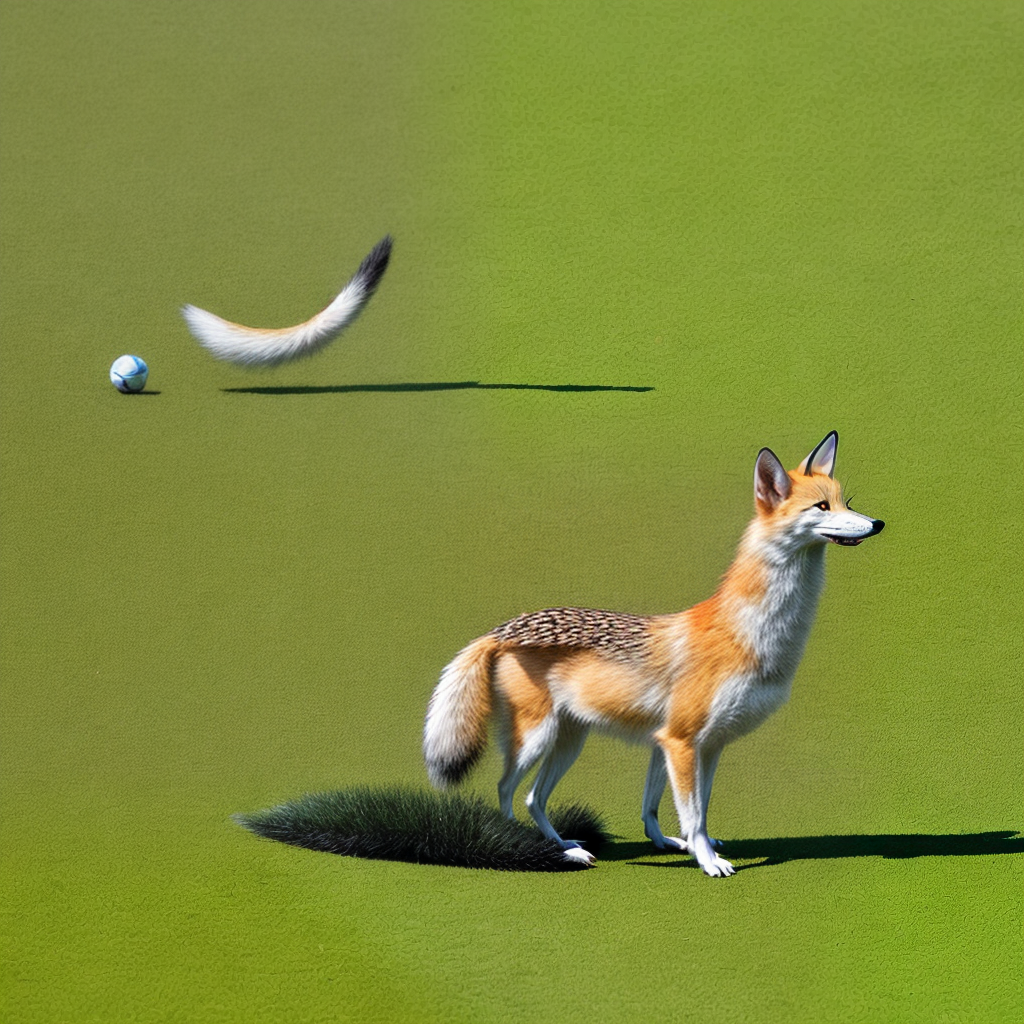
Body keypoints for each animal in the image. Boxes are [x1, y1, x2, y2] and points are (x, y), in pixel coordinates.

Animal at [423, 431, 884, 876]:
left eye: (846, 502)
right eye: (821, 506)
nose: (878, 523)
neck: (751, 635)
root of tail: (500, 631)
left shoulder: (701, 745)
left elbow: (679, 810)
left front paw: (682, 846)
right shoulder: (680, 740)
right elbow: (693, 815)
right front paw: (708, 863)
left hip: (569, 743)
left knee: (534, 798)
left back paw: (567, 848)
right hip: (535, 741)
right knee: (506, 791)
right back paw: (530, 850)